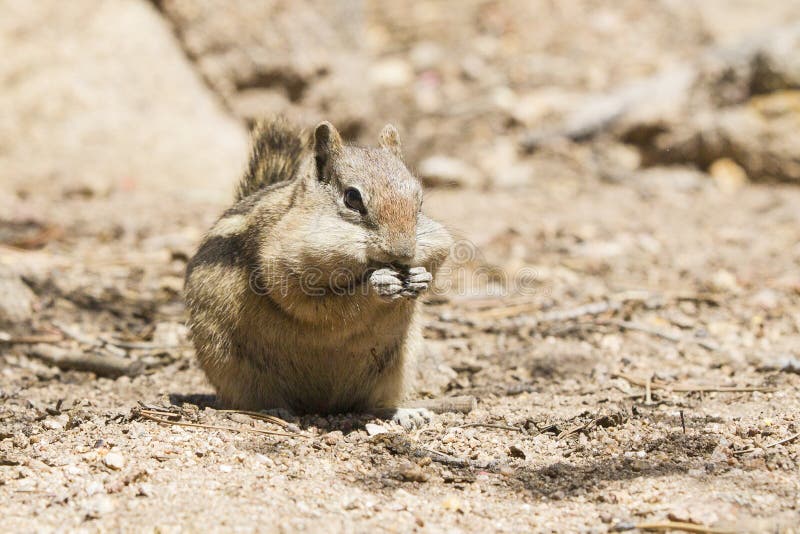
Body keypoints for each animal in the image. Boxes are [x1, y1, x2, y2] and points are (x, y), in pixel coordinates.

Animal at [184, 118, 452, 428]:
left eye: (419, 201)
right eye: (352, 198)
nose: (403, 252)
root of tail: (322, 404)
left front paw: (421, 277)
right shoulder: (282, 269)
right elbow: (317, 304)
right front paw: (378, 284)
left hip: (396, 367)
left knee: (372, 404)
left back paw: (404, 412)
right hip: (231, 366)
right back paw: (273, 411)